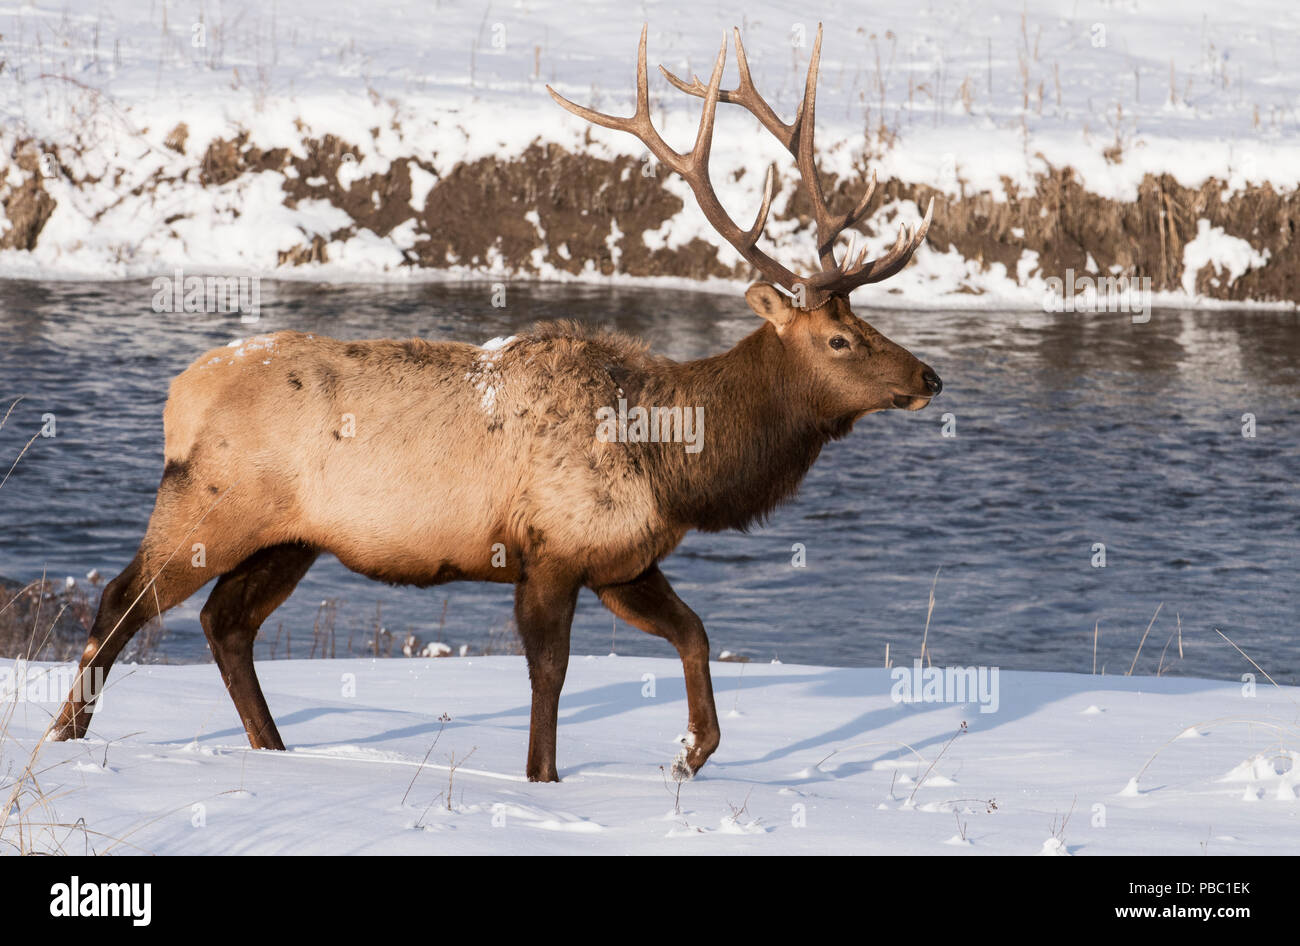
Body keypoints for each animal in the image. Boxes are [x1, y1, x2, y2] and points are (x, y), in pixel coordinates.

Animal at [52, 24, 940, 782]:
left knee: (226, 624)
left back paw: (273, 750)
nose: (929, 378)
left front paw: (690, 752)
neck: (674, 465)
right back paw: (67, 734)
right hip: (210, 506)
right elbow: (551, 672)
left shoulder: (621, 560)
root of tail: (179, 396)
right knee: (122, 599)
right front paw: (545, 778)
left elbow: (695, 631)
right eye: (840, 339)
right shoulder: (551, 550)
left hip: (290, 538)